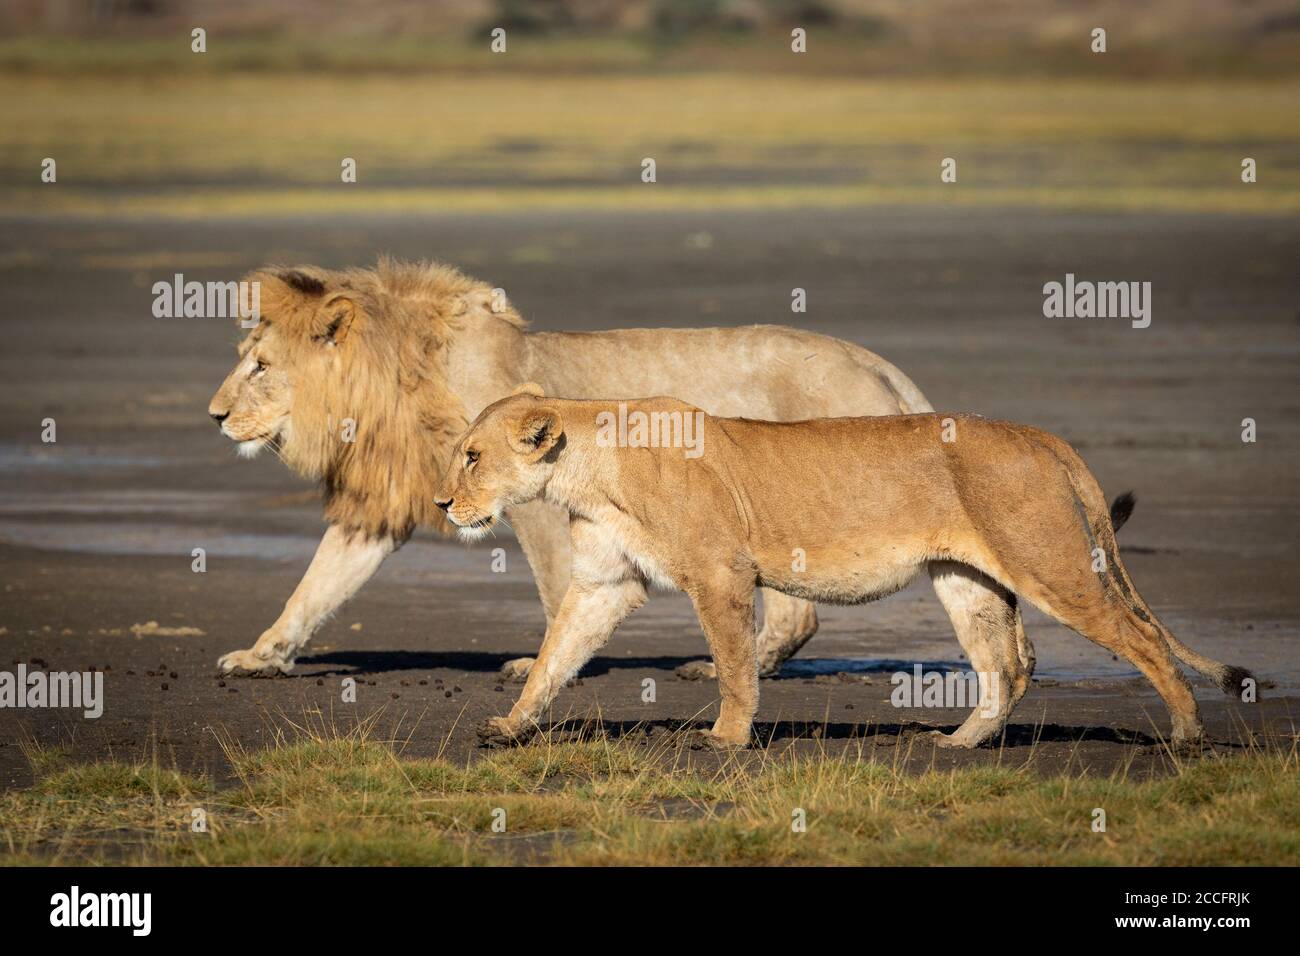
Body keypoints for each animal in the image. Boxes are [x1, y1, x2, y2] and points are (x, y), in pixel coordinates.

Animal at [209, 258, 1029, 743]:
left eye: (259, 366)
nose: (214, 416)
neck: (395, 383)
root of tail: (878, 364)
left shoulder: (533, 498)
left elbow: (554, 588)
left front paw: (537, 666)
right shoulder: (391, 498)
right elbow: (318, 584)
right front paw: (262, 654)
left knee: (800, 611)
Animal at [435, 387, 1253, 750]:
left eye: (472, 456)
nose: (443, 502)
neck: (588, 467)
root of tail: (1035, 432)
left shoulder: (720, 572)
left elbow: (734, 664)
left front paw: (727, 738)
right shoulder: (607, 584)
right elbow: (555, 656)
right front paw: (510, 725)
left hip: (1050, 566)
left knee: (1140, 640)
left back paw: (1187, 733)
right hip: (967, 580)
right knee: (1008, 667)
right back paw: (958, 744)